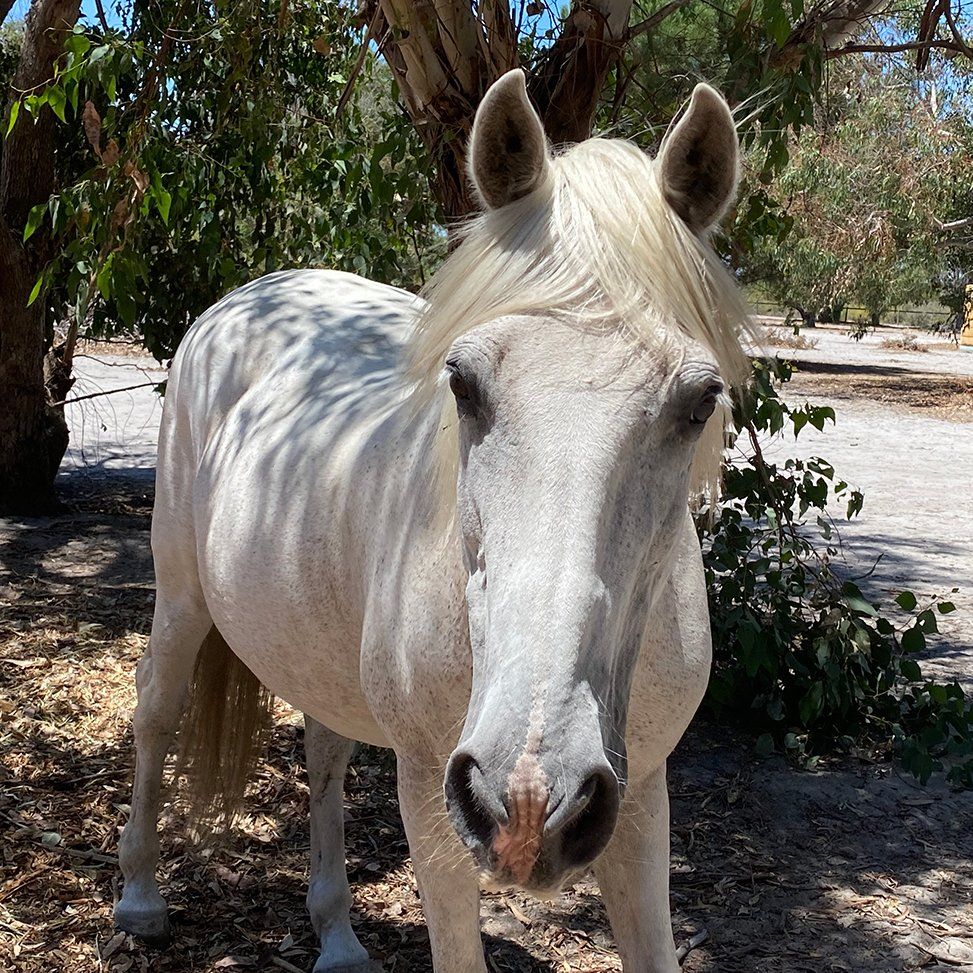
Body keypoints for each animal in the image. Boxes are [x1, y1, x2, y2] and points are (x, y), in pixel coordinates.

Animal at [114, 69, 754, 972]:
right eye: (462, 381)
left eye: (700, 401)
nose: (529, 799)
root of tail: (256, 291)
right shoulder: (427, 785)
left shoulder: (639, 792)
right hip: (182, 594)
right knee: (157, 708)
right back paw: (138, 895)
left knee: (324, 752)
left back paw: (338, 935)